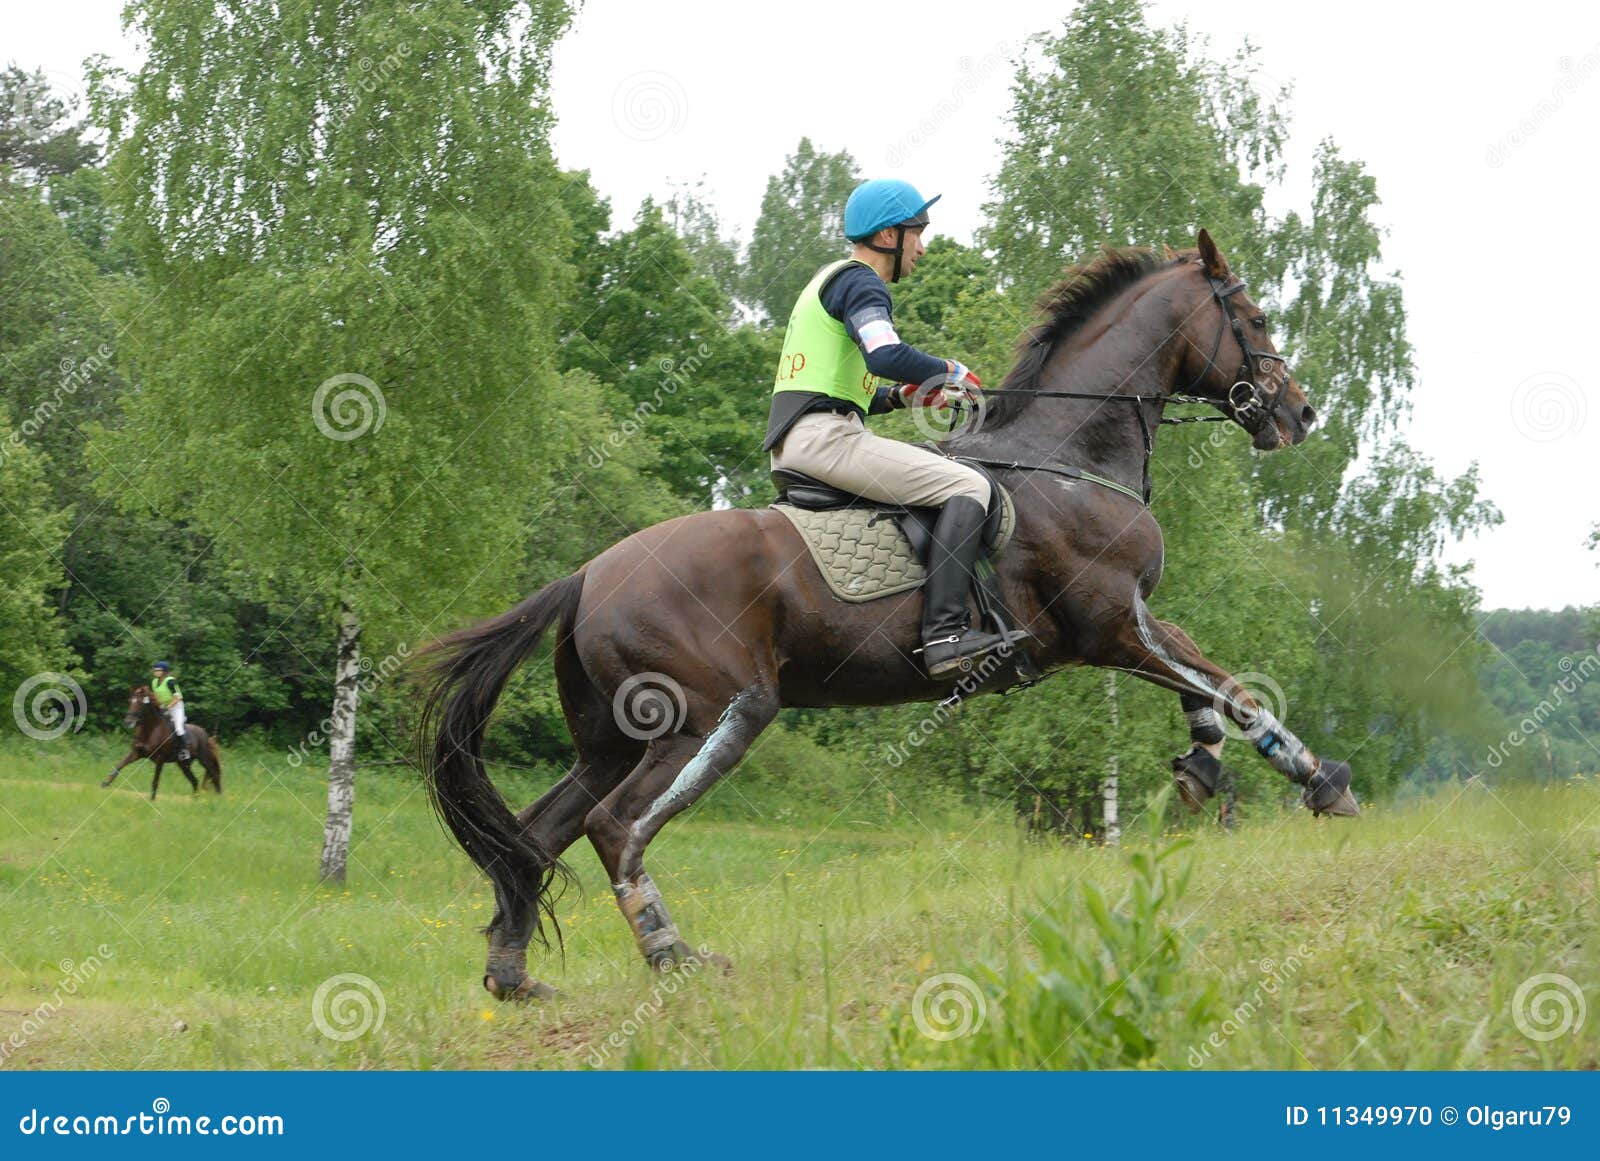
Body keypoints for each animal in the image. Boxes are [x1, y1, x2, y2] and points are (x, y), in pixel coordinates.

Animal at [419, 230, 1359, 1001]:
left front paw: (1204, 764)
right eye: (1256, 317)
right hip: (714, 716)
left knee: (537, 833)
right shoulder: (1107, 629)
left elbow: (1205, 677)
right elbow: (1231, 685)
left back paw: (512, 974)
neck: (1068, 457)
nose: (1299, 413)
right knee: (615, 827)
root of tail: (585, 575)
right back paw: (674, 956)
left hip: (611, 738)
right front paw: (1323, 780)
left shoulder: (1125, 622)